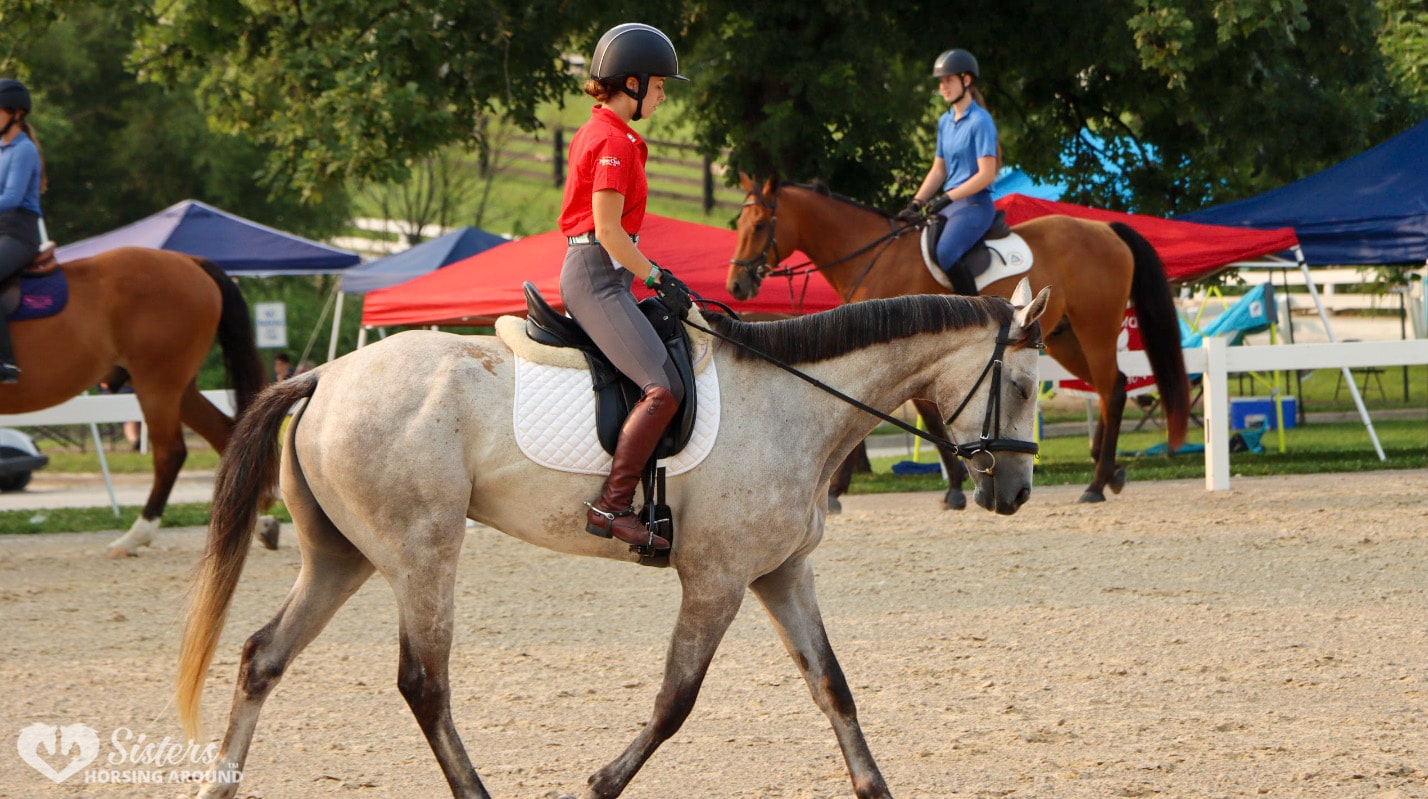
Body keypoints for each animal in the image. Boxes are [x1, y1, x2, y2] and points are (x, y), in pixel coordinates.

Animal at [0, 246, 268, 556]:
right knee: (224, 436)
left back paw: (135, 536)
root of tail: (189, 260)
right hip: (179, 390)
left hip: (157, 387)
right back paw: (259, 523)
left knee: (171, 454)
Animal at [176, 289, 1050, 799]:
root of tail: (321, 376)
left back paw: (222, 783)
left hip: (343, 558)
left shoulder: (781, 574)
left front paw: (873, 785)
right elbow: (674, 701)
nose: (1015, 493)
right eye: (1025, 384)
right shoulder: (717, 579)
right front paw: (599, 781)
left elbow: (833, 687)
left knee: (262, 656)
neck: (792, 403)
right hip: (423, 555)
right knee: (424, 684)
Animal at [727, 176, 1189, 506]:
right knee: (1112, 386)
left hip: (1095, 328)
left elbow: (926, 415)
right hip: (1066, 338)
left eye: (760, 225)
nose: (736, 284)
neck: (873, 255)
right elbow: (927, 415)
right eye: (739, 224)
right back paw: (1110, 473)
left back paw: (1096, 482)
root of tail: (1105, 228)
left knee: (1112, 389)